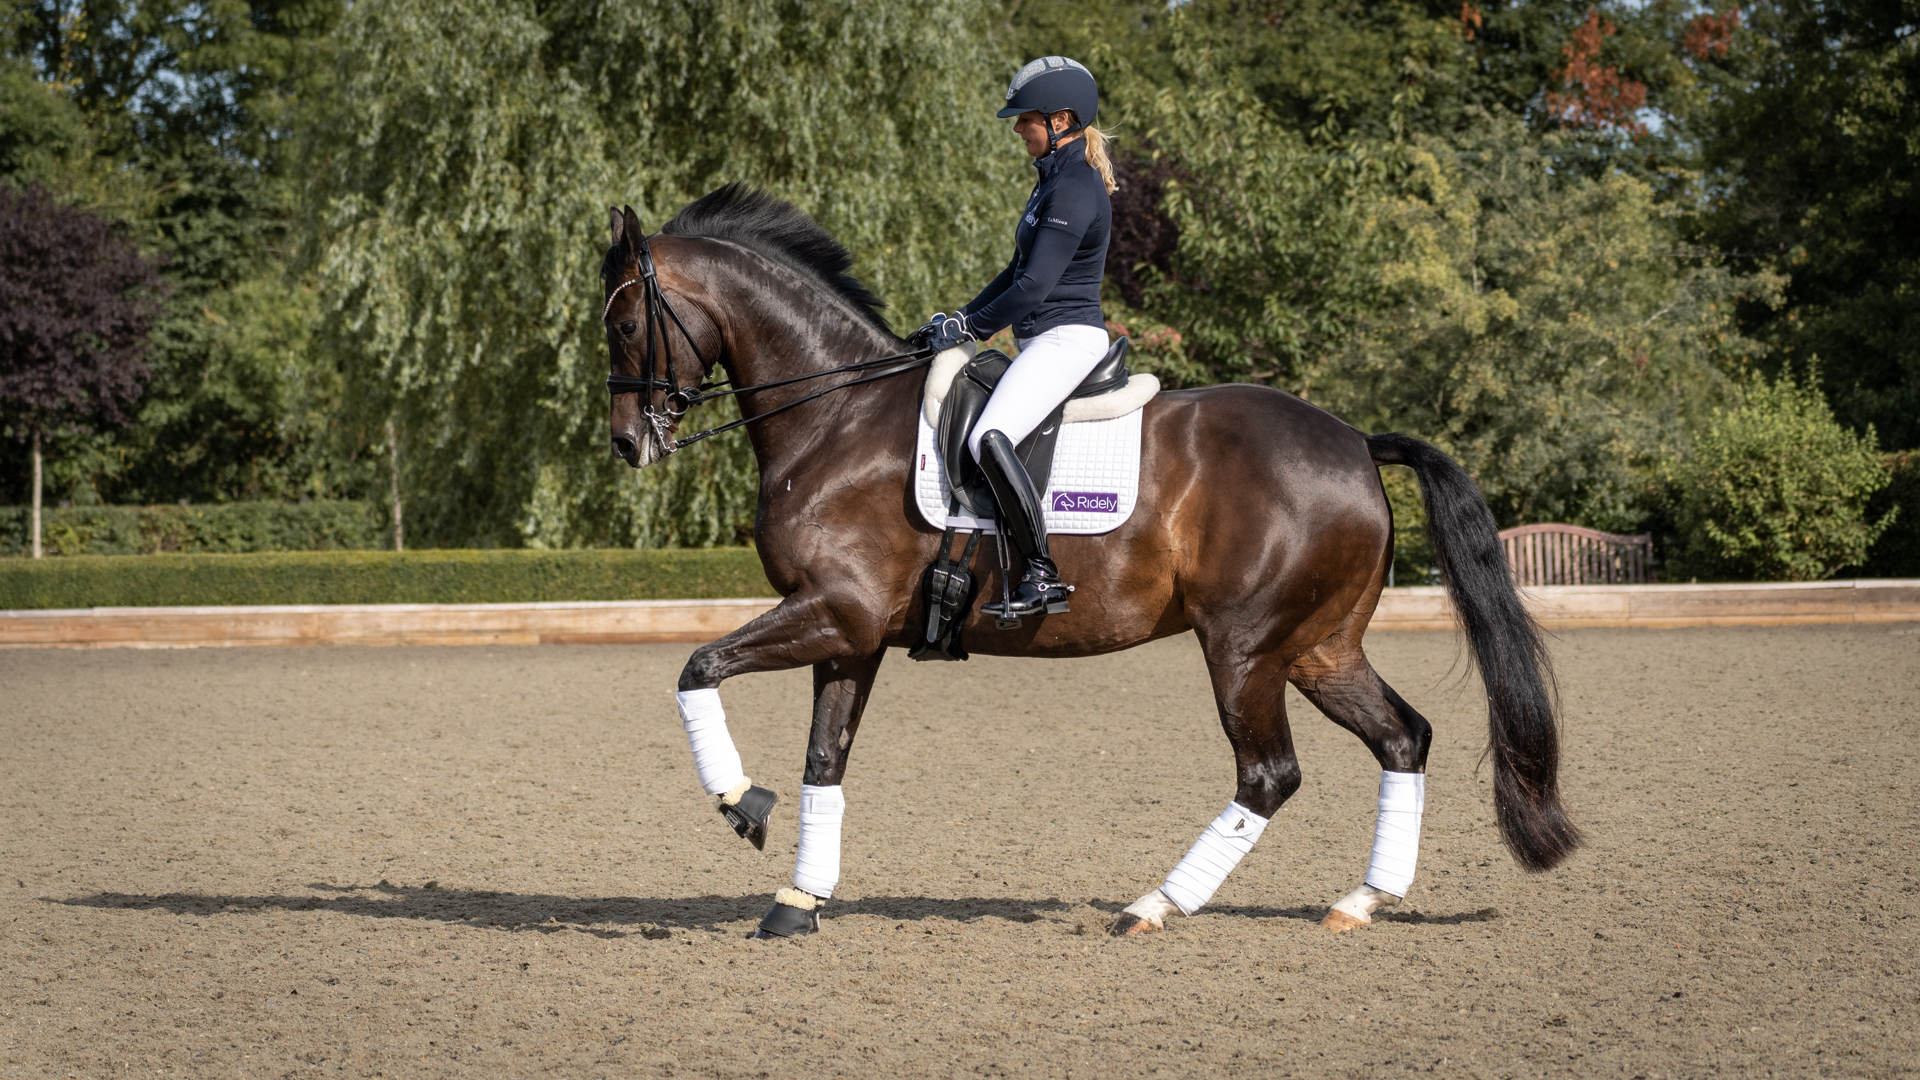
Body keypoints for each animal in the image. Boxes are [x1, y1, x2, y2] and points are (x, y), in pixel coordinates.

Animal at [600, 185, 1579, 939]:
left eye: (624, 324)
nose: (626, 443)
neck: (835, 414)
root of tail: (1354, 442)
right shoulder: (851, 634)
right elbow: (823, 762)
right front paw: (799, 900)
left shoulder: (833, 611)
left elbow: (696, 670)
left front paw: (741, 805)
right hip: (1318, 647)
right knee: (1402, 737)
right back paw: (1363, 900)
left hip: (1246, 649)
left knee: (1270, 774)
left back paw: (1155, 906)